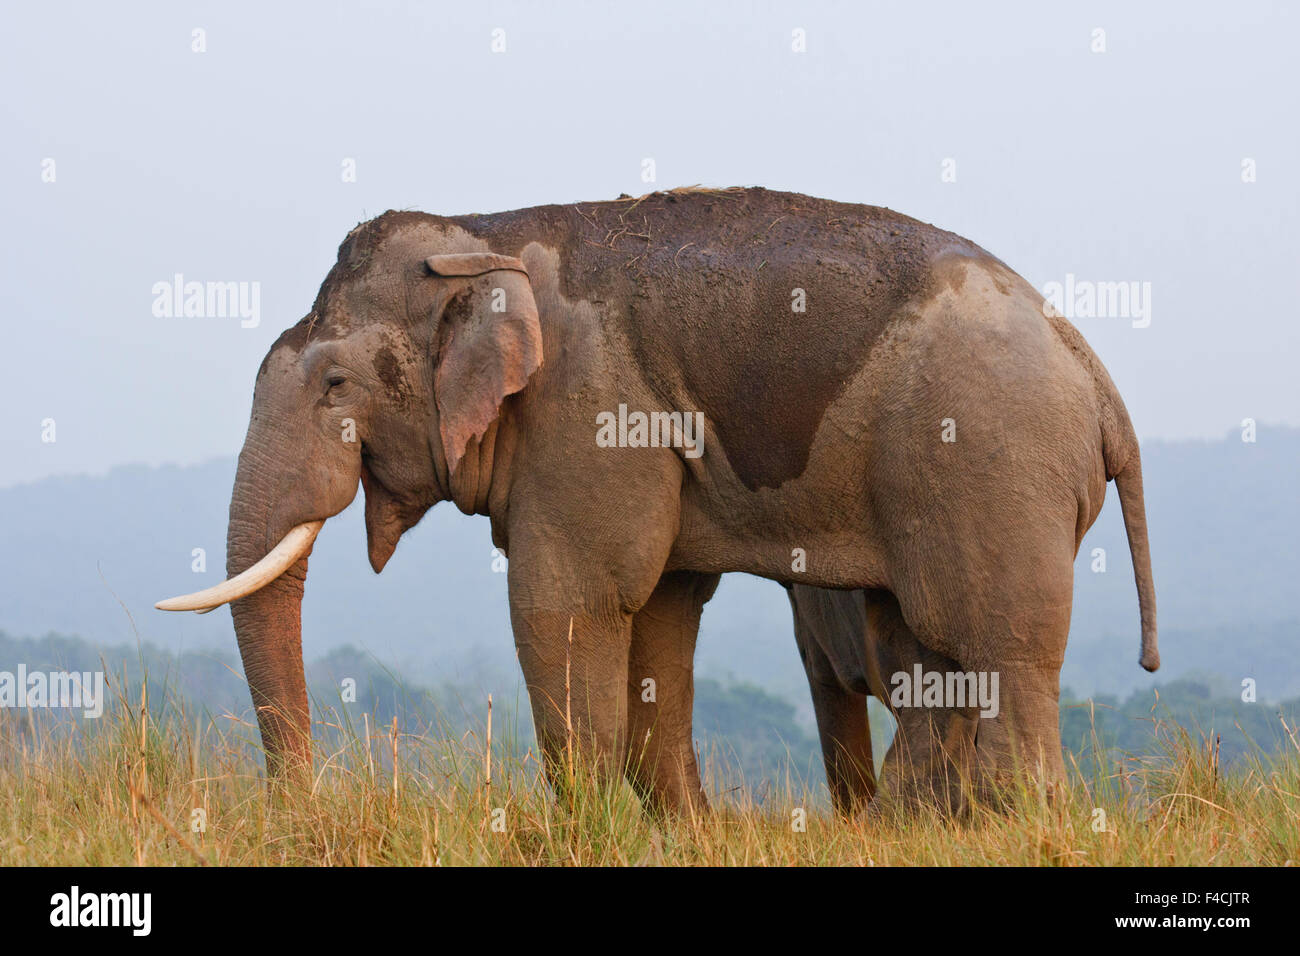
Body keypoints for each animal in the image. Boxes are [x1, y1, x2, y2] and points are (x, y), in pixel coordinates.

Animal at [156, 186, 1157, 817]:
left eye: (334, 384)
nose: (305, 806)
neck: (482, 233)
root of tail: (1098, 380)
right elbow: (662, 611)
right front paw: (681, 829)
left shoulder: (590, 412)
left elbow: (569, 599)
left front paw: (588, 826)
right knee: (932, 653)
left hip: (989, 469)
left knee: (991, 644)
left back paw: (1004, 819)